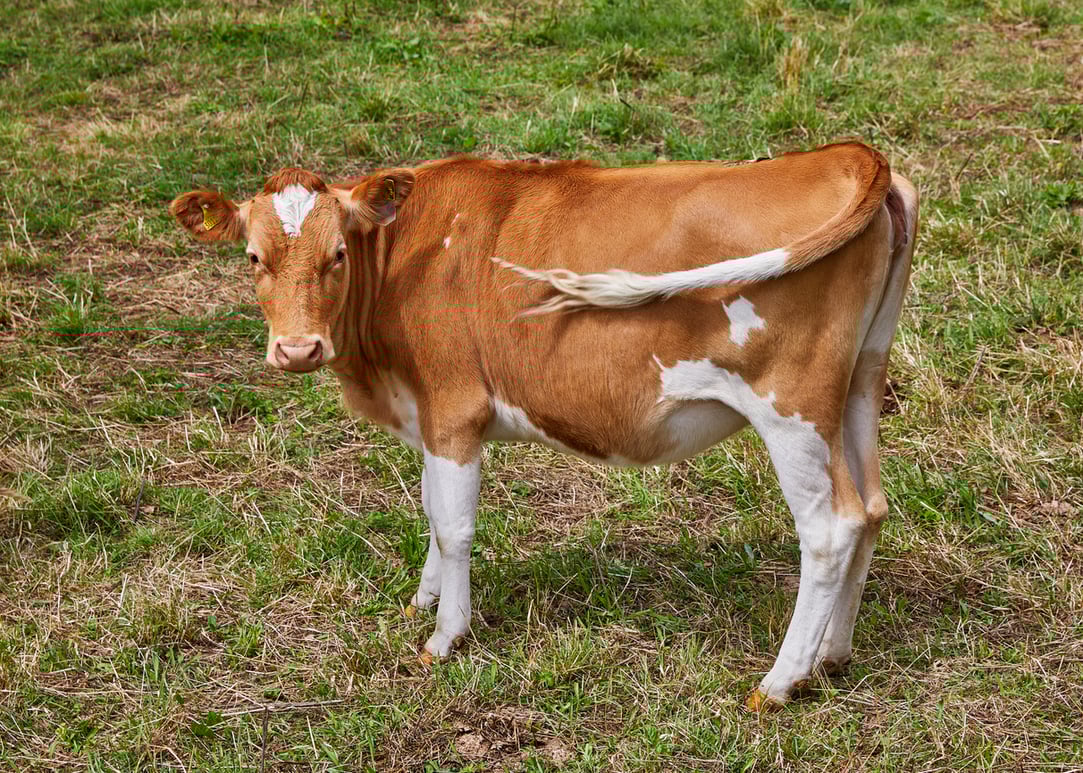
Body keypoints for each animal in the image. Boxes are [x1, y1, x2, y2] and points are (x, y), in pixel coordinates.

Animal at [170, 142, 918, 710]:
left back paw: (780, 681)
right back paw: (831, 656)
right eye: (253, 257)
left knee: (829, 528)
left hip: (790, 407)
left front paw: (444, 637)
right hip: (858, 383)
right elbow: (429, 509)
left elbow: (453, 525)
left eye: (337, 255)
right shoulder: (428, 415)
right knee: (871, 508)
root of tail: (840, 153)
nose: (298, 349)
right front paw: (422, 601)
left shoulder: (453, 406)